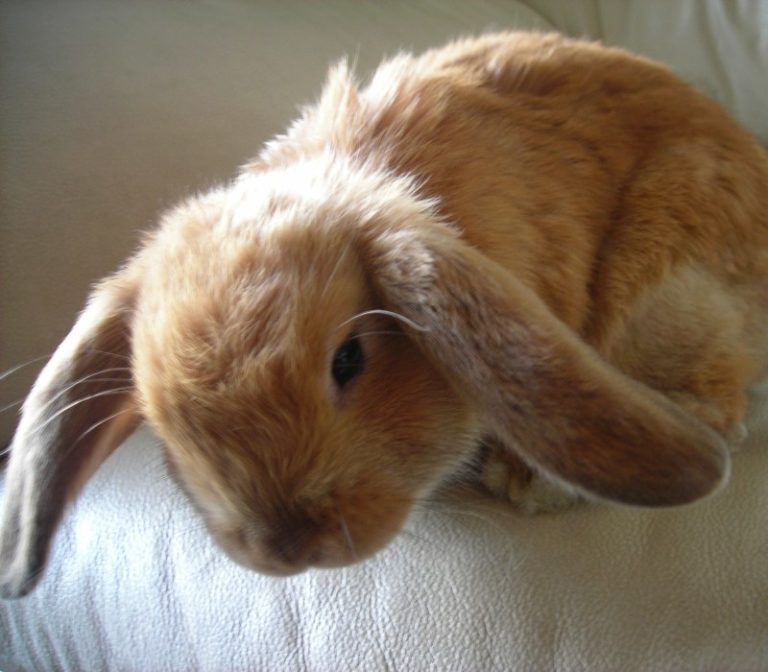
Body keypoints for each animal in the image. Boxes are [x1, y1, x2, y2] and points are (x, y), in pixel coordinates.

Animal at [2, 31, 768, 599]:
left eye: (349, 360)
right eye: (162, 417)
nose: (289, 546)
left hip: (660, 269)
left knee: (718, 406)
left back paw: (533, 480)